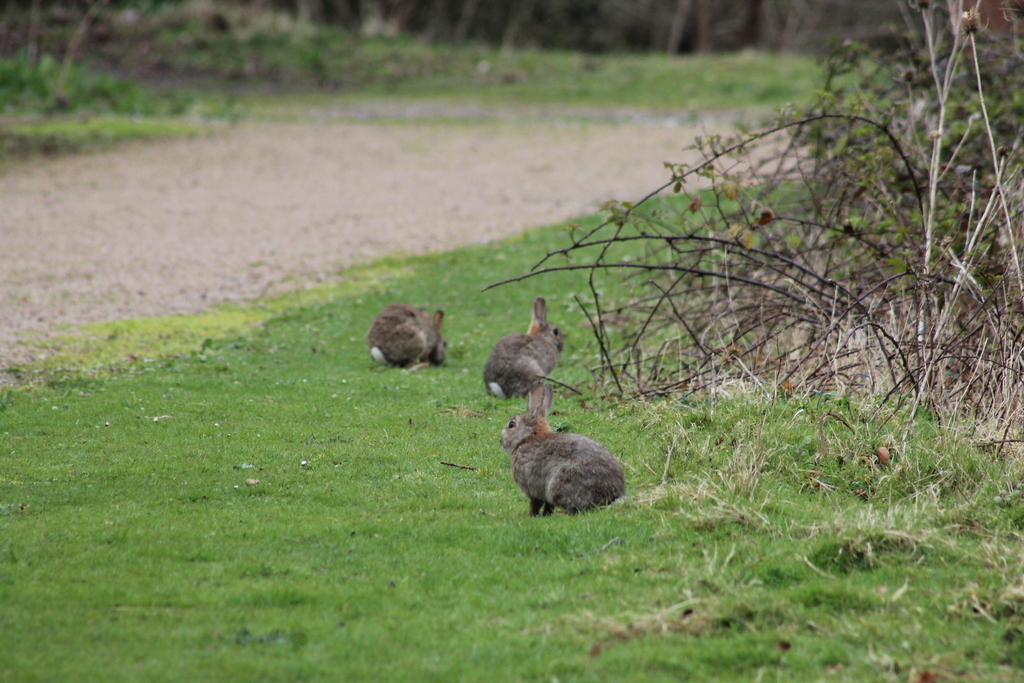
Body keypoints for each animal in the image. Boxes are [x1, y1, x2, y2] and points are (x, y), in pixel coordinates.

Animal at [501, 382, 625, 516]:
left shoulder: (531, 486)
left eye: (511, 425)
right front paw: (545, 515)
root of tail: (610, 497)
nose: (501, 441)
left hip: (560, 484)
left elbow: (535, 504)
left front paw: (531, 515)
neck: (528, 438)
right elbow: (548, 506)